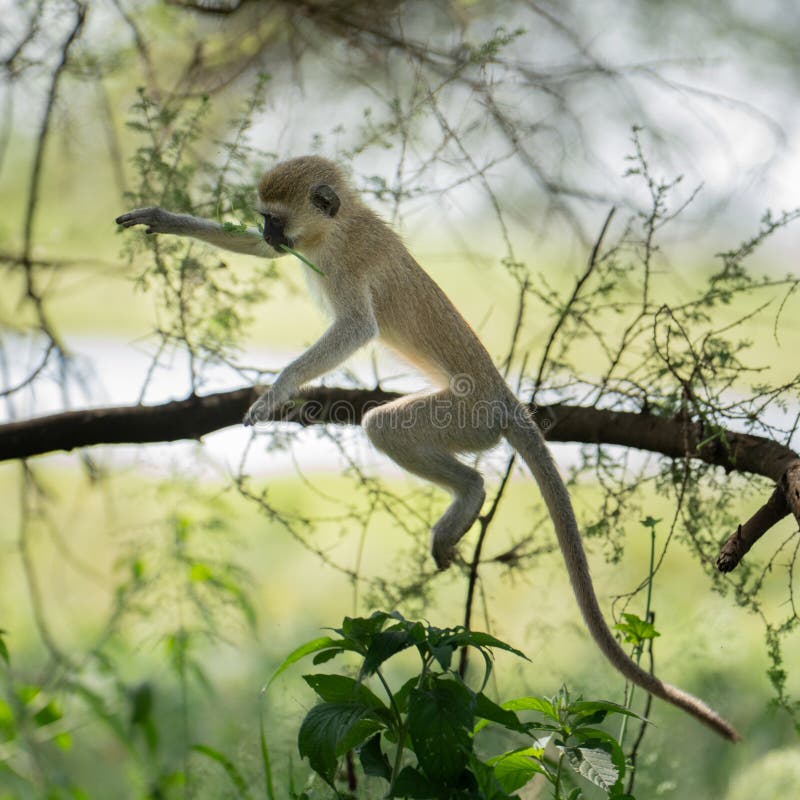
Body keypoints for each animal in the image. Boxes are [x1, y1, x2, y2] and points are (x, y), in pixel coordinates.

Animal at [116, 155, 739, 741]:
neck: (337, 226)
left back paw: (470, 494)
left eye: (276, 217)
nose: (271, 233)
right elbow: (256, 254)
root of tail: (505, 399)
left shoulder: (348, 265)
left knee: (388, 428)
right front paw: (164, 219)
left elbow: (357, 329)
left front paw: (279, 388)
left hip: (465, 418)